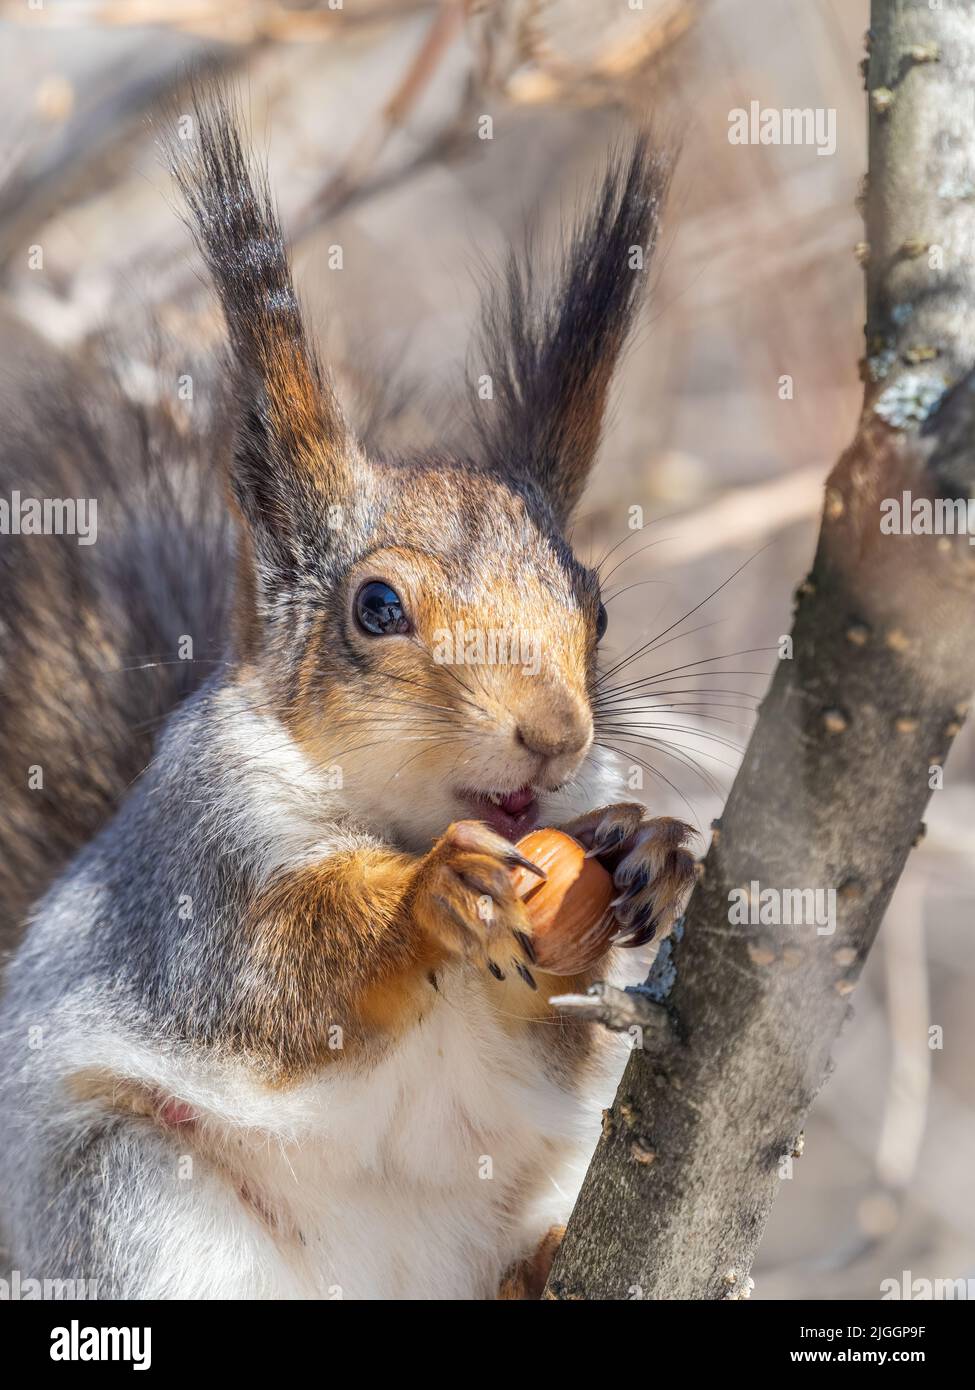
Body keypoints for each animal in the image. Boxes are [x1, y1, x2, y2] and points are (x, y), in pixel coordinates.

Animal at [0, 92, 695, 1300]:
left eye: (597, 607)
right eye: (376, 607)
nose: (555, 736)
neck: (402, 814)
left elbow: (559, 1033)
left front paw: (646, 846)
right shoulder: (204, 868)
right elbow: (279, 978)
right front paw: (427, 894)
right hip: (132, 1197)